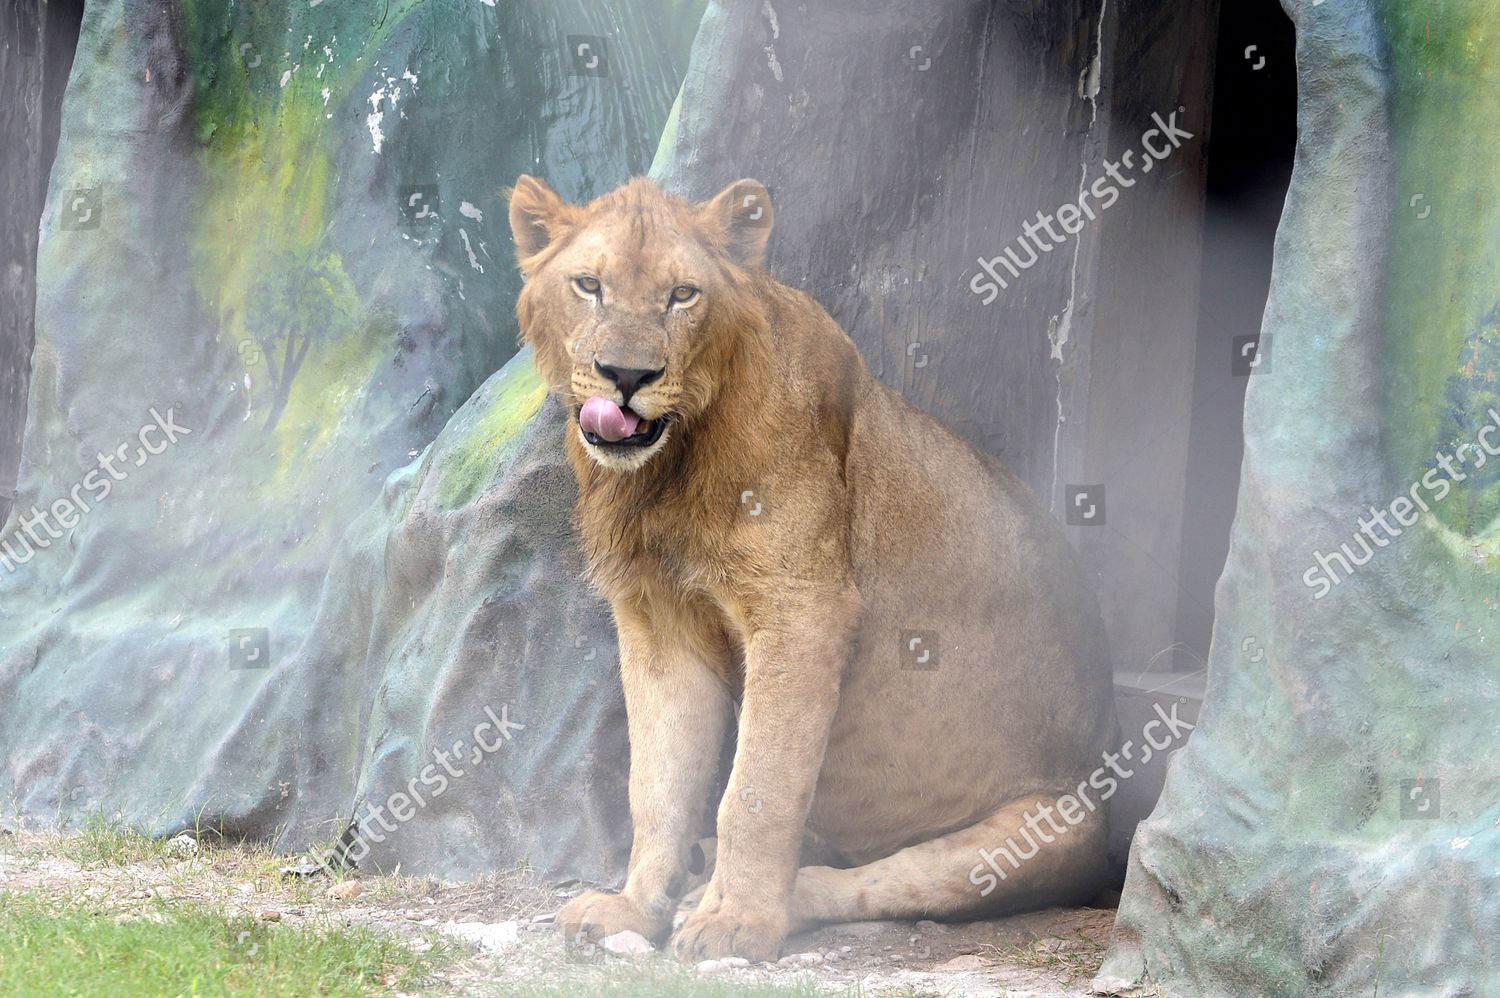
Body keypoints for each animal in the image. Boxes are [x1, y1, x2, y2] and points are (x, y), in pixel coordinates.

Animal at [507, 175, 1117, 962]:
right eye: (589, 285)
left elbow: (757, 790)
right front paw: (634, 909)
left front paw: (737, 923)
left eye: (682, 294)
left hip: (1054, 826)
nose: (627, 376)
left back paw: (732, 898)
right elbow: (658, 788)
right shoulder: (659, 622)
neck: (668, 467)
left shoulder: (805, 609)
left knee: (877, 881)